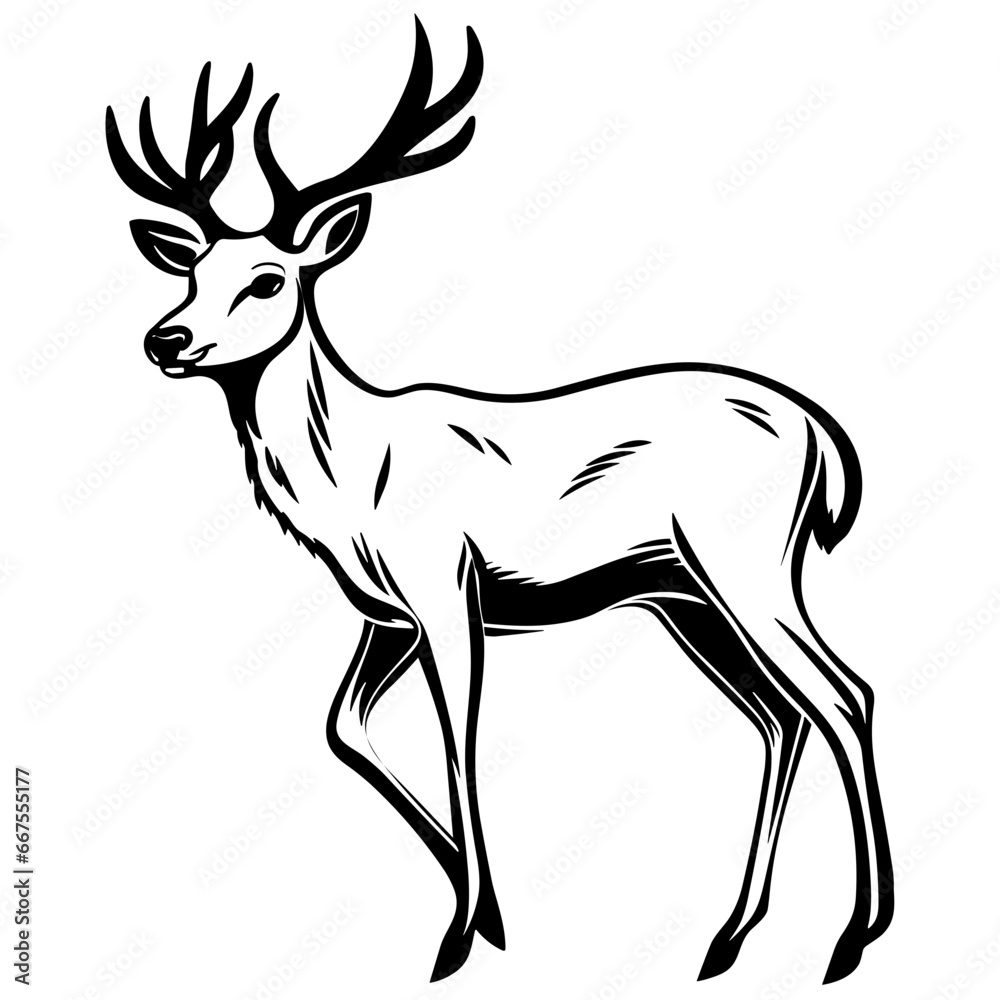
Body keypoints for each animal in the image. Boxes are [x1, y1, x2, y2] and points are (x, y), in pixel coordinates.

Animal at [106, 16, 893, 985]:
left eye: (268, 280)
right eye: (190, 274)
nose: (166, 339)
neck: (352, 479)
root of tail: (823, 435)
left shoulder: (448, 586)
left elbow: (460, 741)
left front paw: (459, 935)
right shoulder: (386, 613)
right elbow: (343, 727)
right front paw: (487, 915)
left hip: (746, 559)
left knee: (844, 695)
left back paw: (855, 935)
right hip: (683, 595)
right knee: (781, 715)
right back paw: (730, 937)